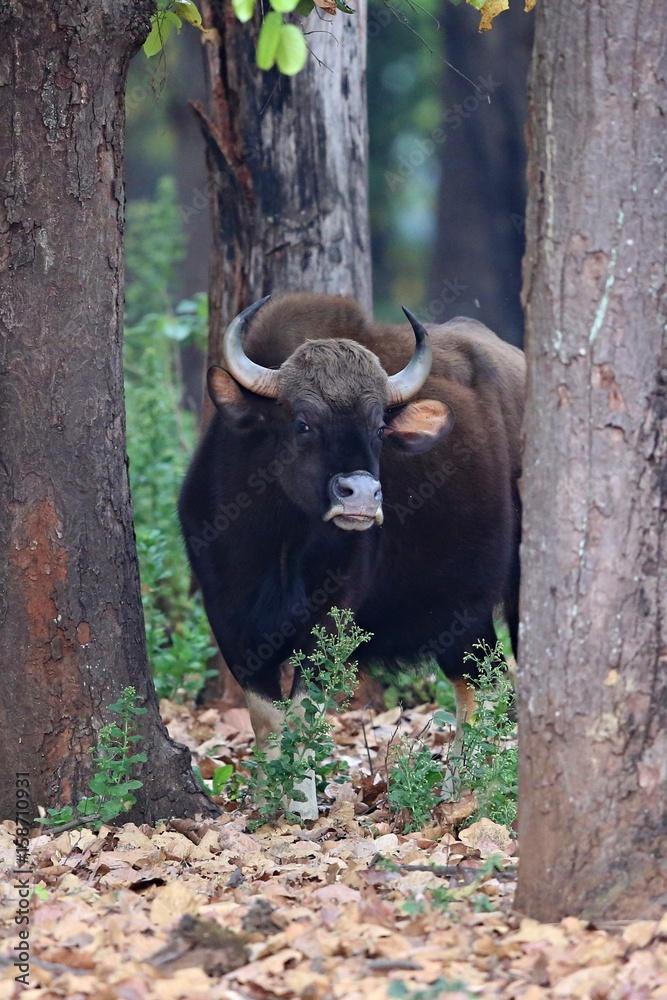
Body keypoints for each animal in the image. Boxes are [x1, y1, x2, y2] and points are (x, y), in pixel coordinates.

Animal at [179, 293, 525, 817]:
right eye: (302, 422)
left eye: (379, 427)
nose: (361, 495)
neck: (278, 547)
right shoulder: (230, 621)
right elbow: (267, 717)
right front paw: (269, 802)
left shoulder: (329, 621)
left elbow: (301, 716)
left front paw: (299, 809)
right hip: (462, 612)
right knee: (481, 685)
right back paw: (463, 788)